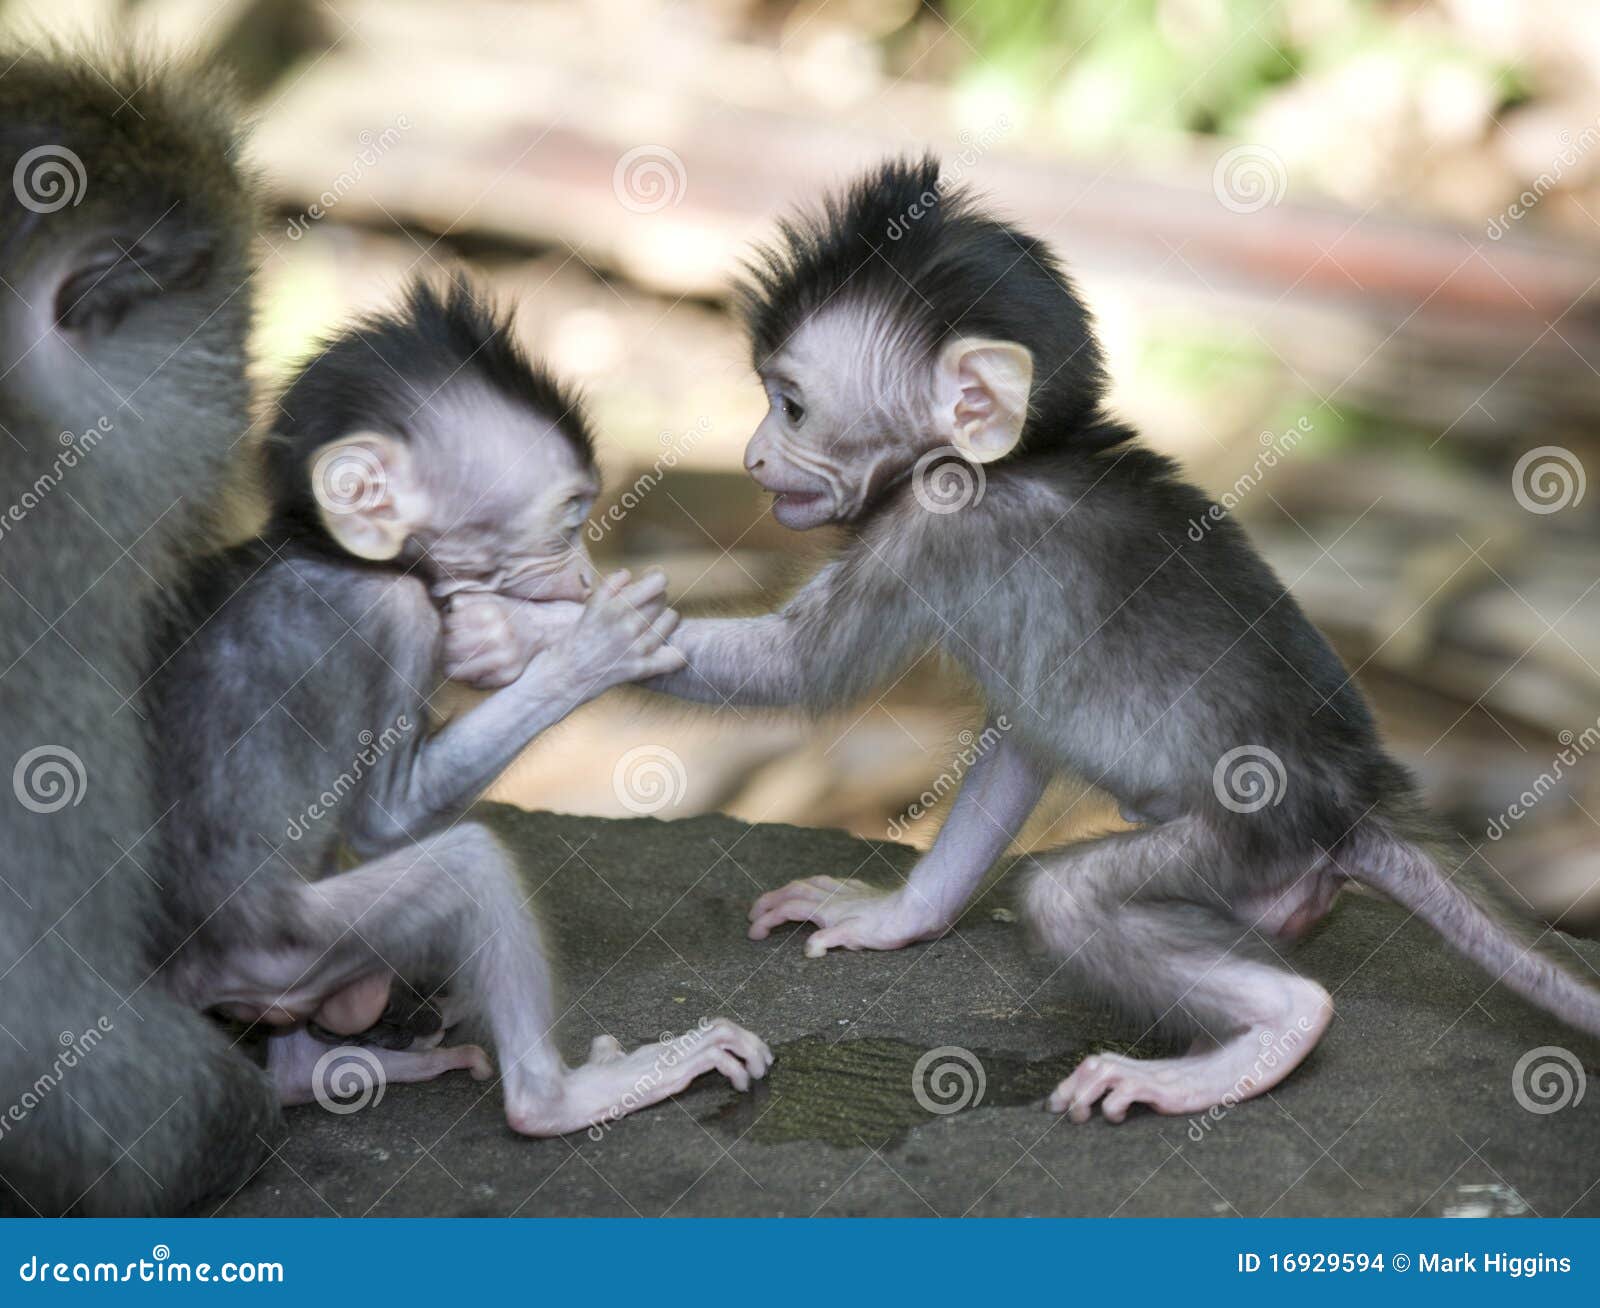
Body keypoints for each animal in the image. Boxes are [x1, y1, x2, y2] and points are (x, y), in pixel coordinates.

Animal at [148, 277, 772, 1131]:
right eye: (569, 522)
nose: (584, 577)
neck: (324, 549)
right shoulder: (393, 614)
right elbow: (386, 820)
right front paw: (589, 652)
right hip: (278, 949)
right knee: (467, 866)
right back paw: (562, 1099)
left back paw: (313, 1071)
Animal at [643, 156, 1600, 1122]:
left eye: (792, 407)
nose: (754, 456)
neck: (1013, 459)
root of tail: (1352, 790)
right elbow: (1017, 747)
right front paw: (898, 917)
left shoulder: (933, 531)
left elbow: (796, 669)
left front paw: (602, 624)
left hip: (1241, 834)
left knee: (1074, 898)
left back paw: (1270, 1033)